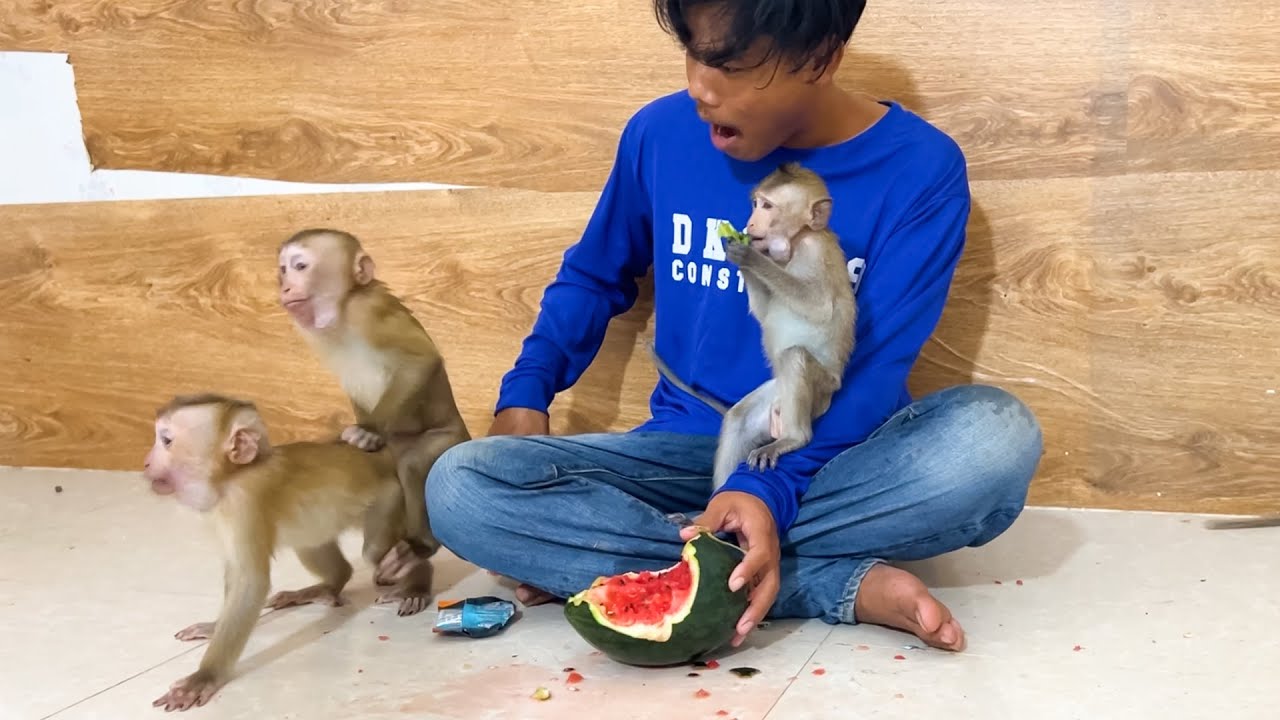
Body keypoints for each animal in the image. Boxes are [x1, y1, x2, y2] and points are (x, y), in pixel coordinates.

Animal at [143, 393, 427, 712]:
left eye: (166, 440)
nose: (146, 462)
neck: (232, 476)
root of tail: (385, 458)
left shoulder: (244, 502)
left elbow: (251, 583)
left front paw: (205, 676)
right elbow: (236, 574)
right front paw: (213, 626)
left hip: (391, 499)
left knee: (377, 554)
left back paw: (416, 584)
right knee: (312, 543)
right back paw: (328, 585)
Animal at [276, 228, 470, 589]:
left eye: (300, 266)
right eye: (283, 269)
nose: (285, 286)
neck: (341, 310)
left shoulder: (368, 310)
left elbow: (421, 361)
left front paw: (369, 431)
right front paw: (362, 432)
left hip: (448, 438)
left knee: (413, 463)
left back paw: (420, 546)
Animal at [669, 162, 857, 491]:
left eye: (768, 206)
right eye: (756, 203)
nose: (750, 222)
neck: (795, 241)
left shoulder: (814, 250)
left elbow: (818, 305)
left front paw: (750, 258)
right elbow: (765, 311)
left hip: (818, 391)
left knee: (794, 356)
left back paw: (794, 438)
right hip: (773, 396)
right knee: (738, 420)